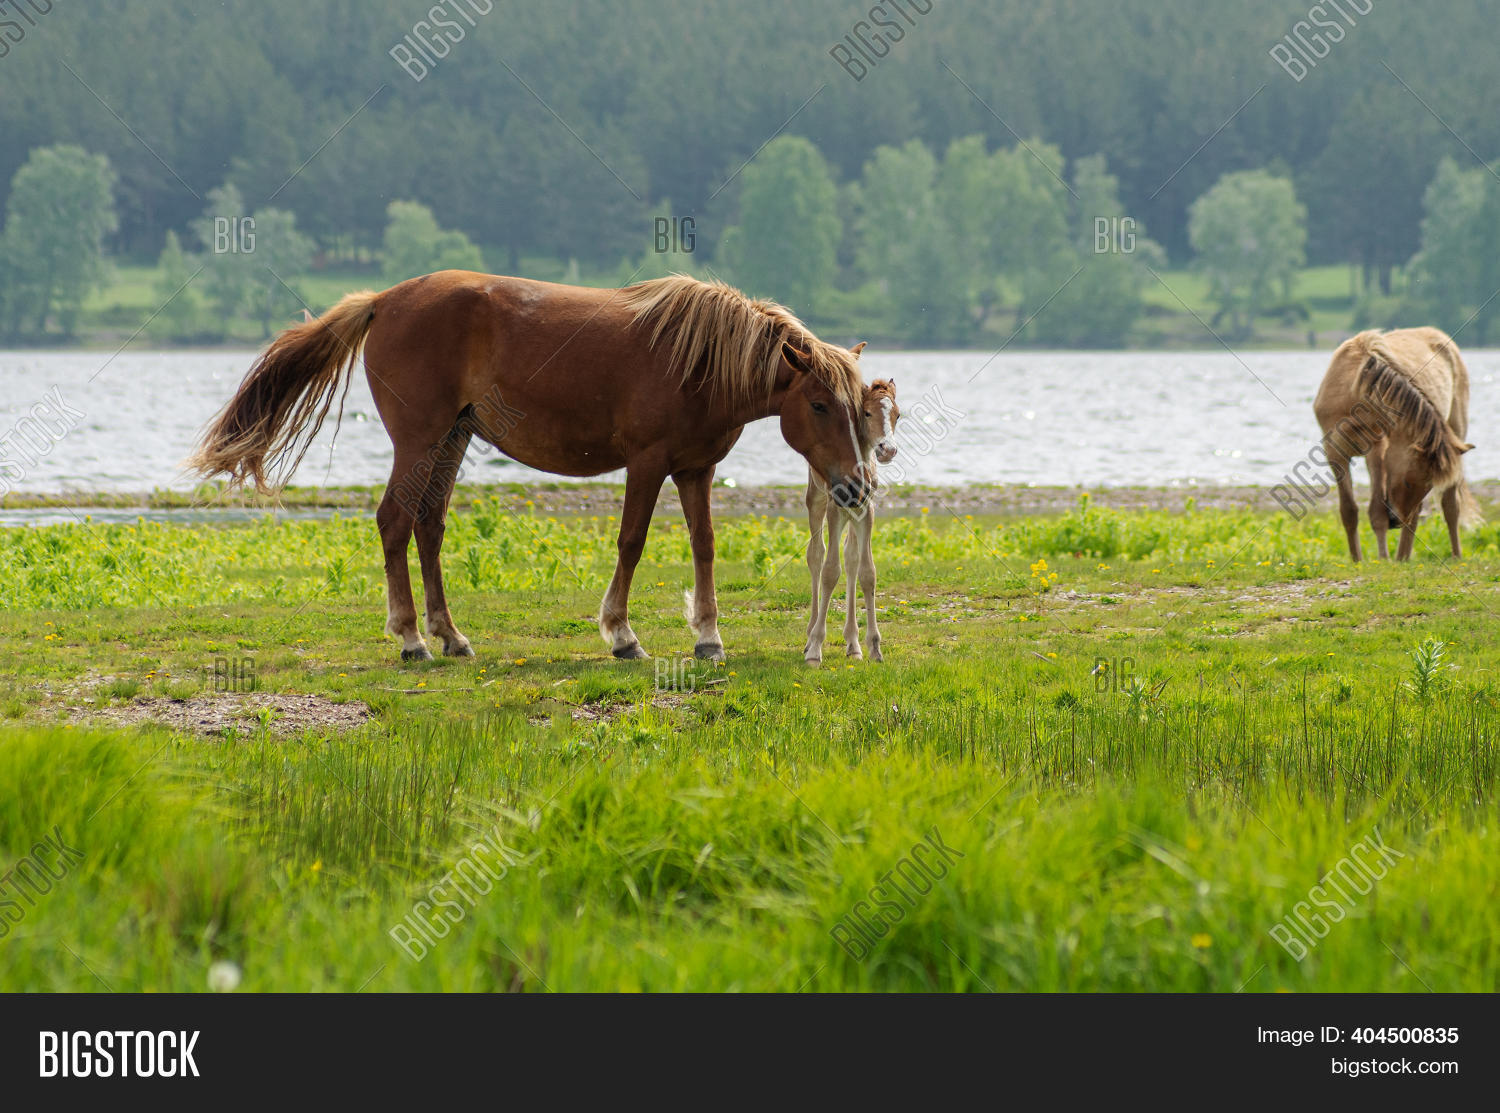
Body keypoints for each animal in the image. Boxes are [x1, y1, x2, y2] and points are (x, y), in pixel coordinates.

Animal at [188, 271, 874, 663]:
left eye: (858, 407)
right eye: (819, 404)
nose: (855, 486)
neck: (699, 358)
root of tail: (384, 300)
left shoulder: (696, 470)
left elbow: (703, 545)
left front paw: (708, 636)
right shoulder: (647, 463)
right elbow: (631, 542)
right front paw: (620, 634)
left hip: (453, 439)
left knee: (429, 526)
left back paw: (450, 635)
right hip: (419, 440)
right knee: (394, 522)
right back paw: (411, 639)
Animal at [804, 376, 899, 665]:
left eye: (897, 415)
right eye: (866, 413)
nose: (887, 450)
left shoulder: (866, 510)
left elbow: (867, 572)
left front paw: (874, 647)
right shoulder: (835, 508)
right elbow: (829, 570)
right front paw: (815, 648)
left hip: (853, 513)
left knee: (851, 558)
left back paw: (853, 643)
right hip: (816, 499)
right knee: (816, 555)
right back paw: (810, 636)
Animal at [1313, 327, 1480, 562]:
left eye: (1429, 485)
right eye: (1408, 482)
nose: (1396, 521)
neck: (1351, 392)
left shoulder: (1377, 451)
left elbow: (1376, 511)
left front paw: (1383, 559)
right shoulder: (1335, 452)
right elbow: (1349, 511)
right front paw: (1357, 560)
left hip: (1457, 431)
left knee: (1448, 506)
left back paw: (1453, 555)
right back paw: (1403, 558)